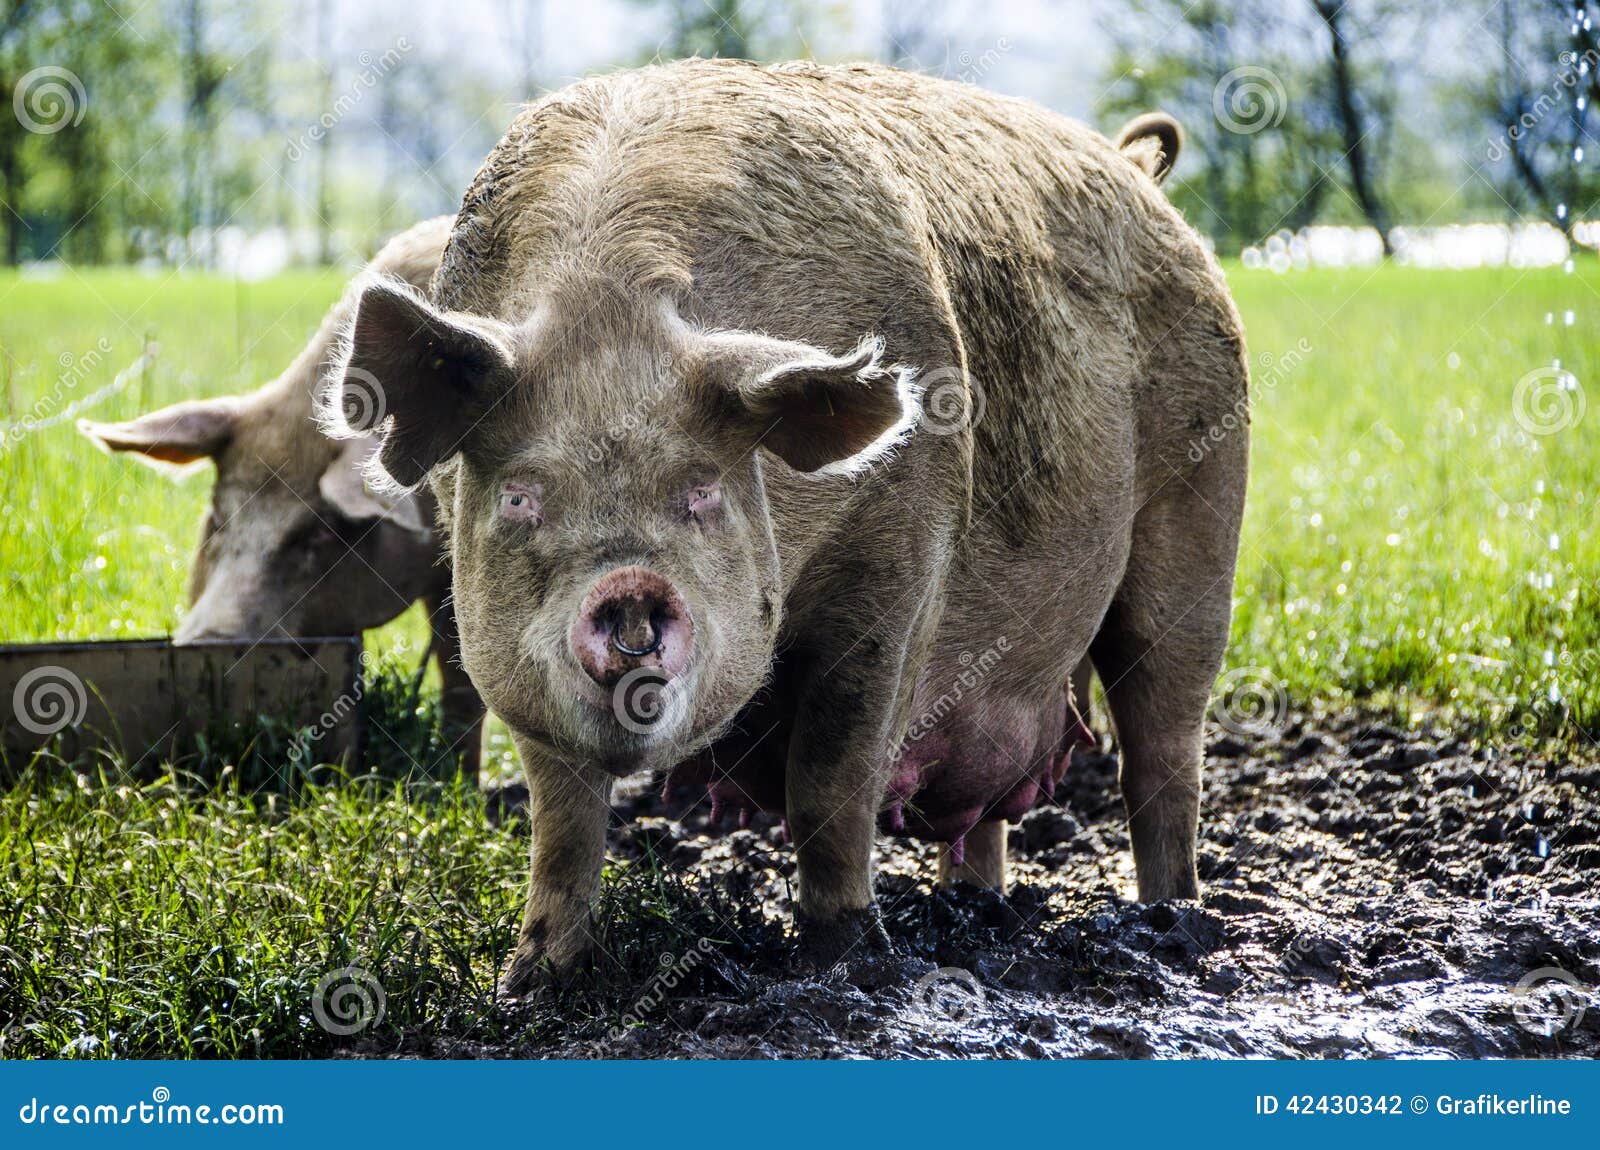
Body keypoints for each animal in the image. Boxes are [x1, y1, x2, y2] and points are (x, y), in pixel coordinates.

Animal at [325, 60, 1248, 990]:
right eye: (519, 496)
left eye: (703, 490)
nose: (629, 591)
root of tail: (1137, 171)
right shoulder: (507, 655)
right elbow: (563, 820)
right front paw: (534, 984)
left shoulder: (900, 564)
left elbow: (832, 780)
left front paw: (847, 961)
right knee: (984, 811)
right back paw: (977, 907)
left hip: (1203, 508)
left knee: (1163, 747)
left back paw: (1174, 921)